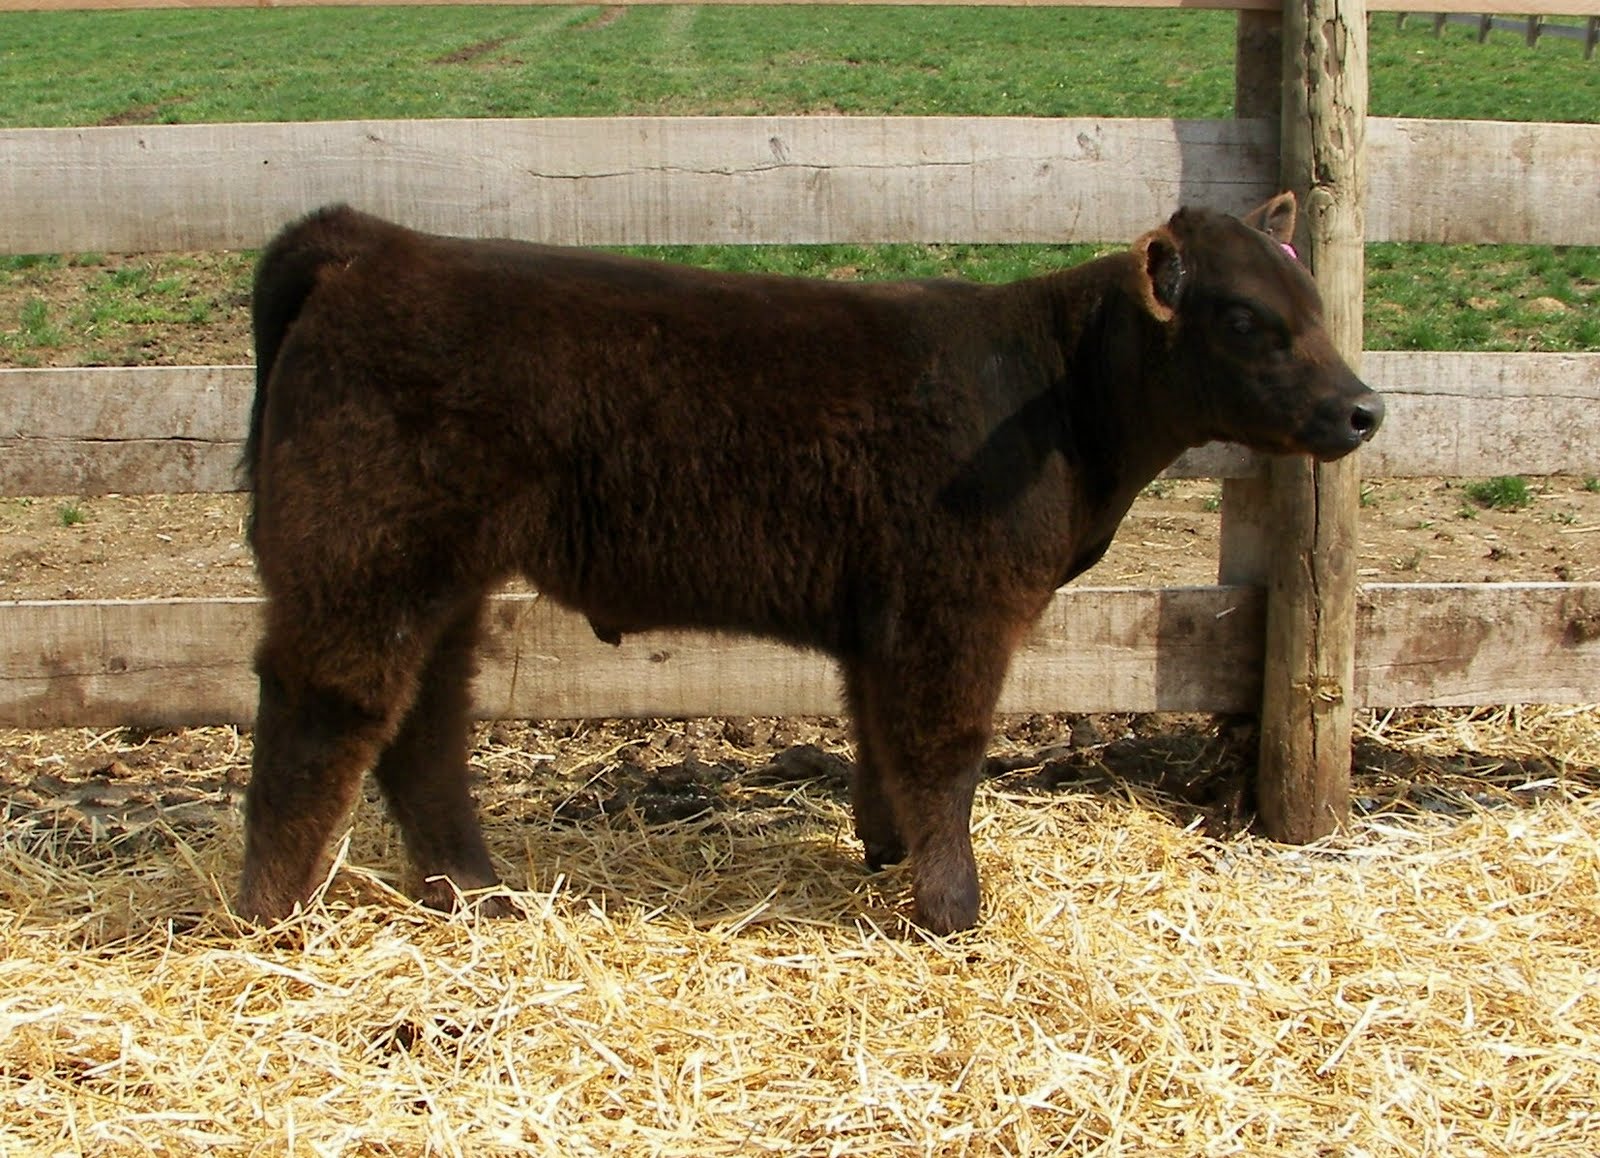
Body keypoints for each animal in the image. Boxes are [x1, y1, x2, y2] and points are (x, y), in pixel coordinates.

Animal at [237, 193, 1382, 935]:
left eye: (1317, 305)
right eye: (1244, 317)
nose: (1364, 410)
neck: (1055, 394)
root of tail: (373, 244)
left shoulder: (882, 618)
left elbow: (882, 743)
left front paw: (887, 856)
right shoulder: (952, 606)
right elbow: (944, 750)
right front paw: (953, 910)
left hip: (442, 577)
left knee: (421, 725)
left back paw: (479, 896)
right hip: (364, 555)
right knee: (323, 711)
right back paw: (270, 915)